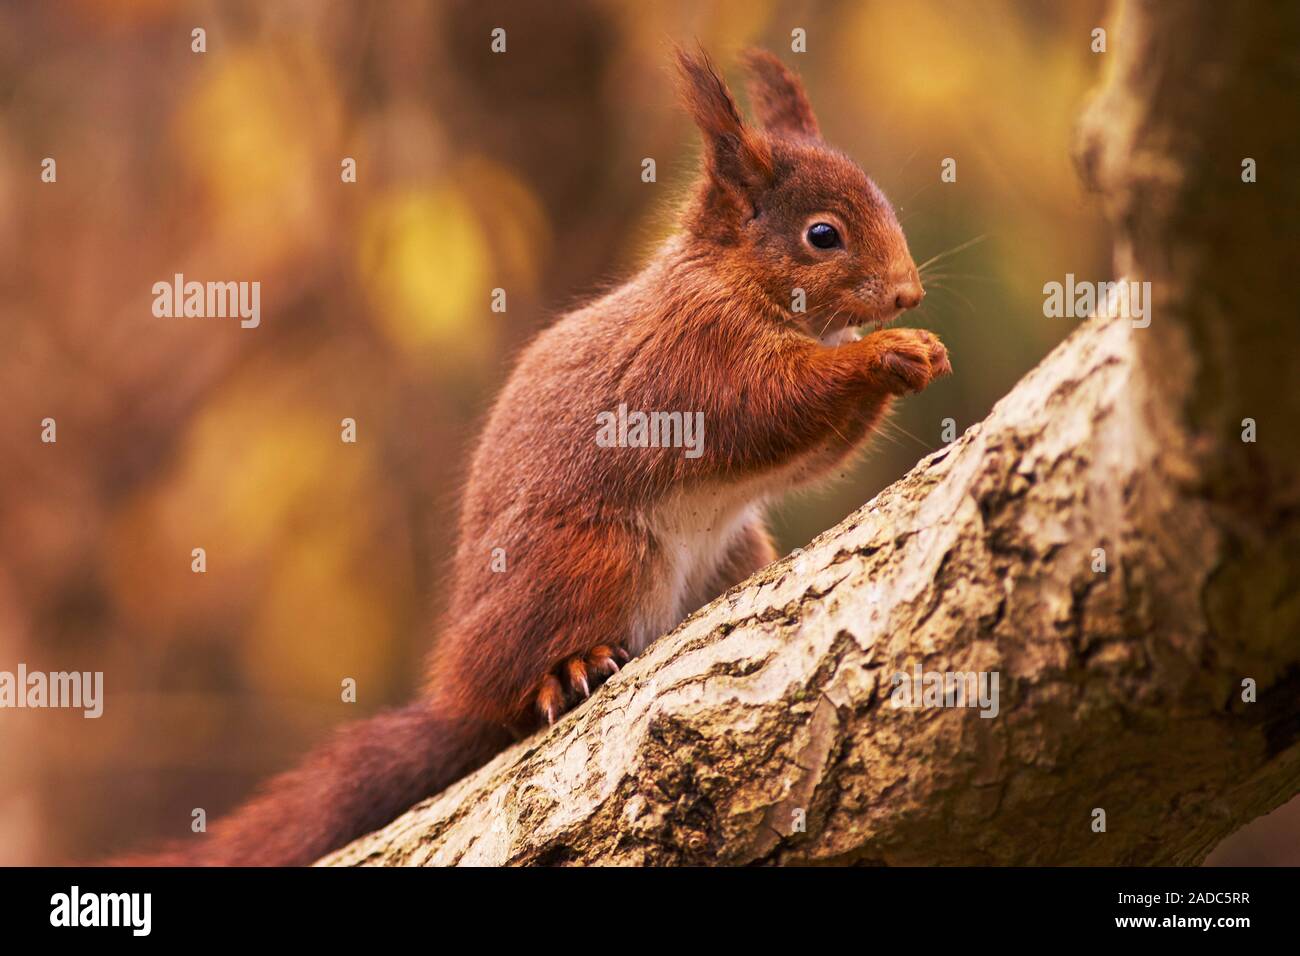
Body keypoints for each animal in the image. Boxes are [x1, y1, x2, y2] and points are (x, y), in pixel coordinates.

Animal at [114, 47, 949, 866]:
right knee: (518, 684)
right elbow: (775, 407)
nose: (907, 295)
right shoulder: (699, 360)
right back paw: (564, 671)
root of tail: (459, 691)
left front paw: (919, 352)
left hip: (732, 552)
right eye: (822, 235)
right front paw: (887, 353)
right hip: (592, 556)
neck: (736, 280)